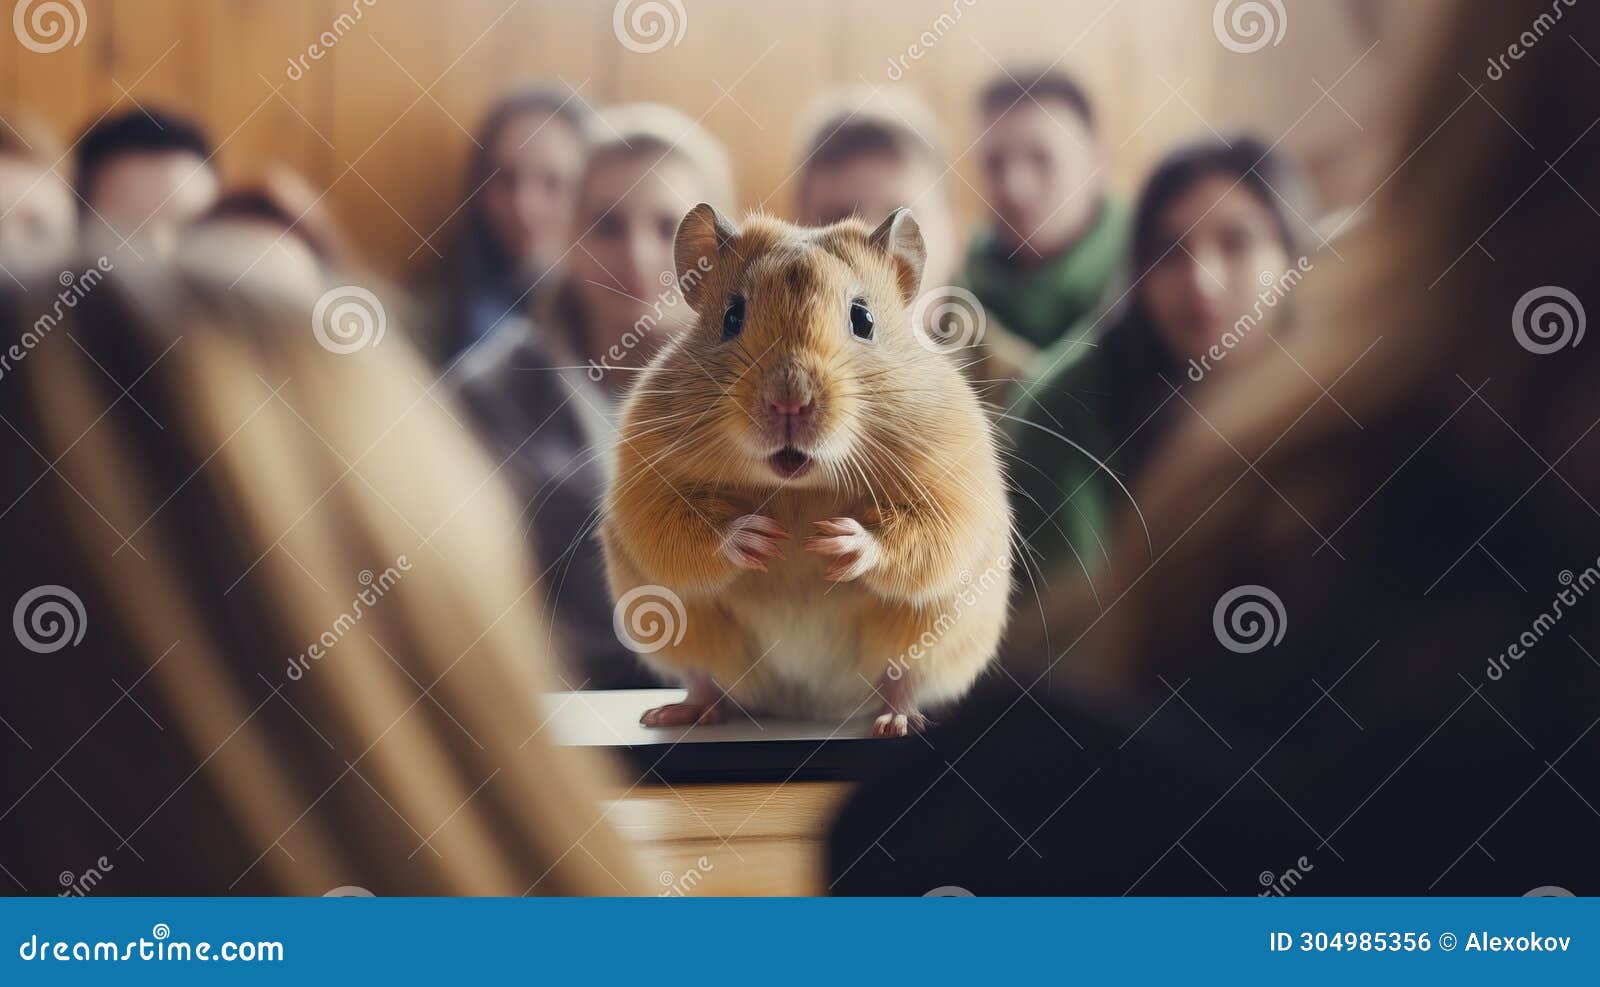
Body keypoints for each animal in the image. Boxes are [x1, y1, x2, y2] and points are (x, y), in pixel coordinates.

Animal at [600, 203, 1012, 737]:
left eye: (863, 319)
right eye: (732, 317)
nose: (789, 401)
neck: (799, 487)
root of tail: (808, 707)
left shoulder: (954, 487)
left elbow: (919, 536)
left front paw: (834, 540)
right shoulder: (646, 486)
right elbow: (678, 531)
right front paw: (761, 539)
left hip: (938, 637)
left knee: (904, 677)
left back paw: (897, 721)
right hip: (682, 631)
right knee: (702, 677)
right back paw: (675, 714)